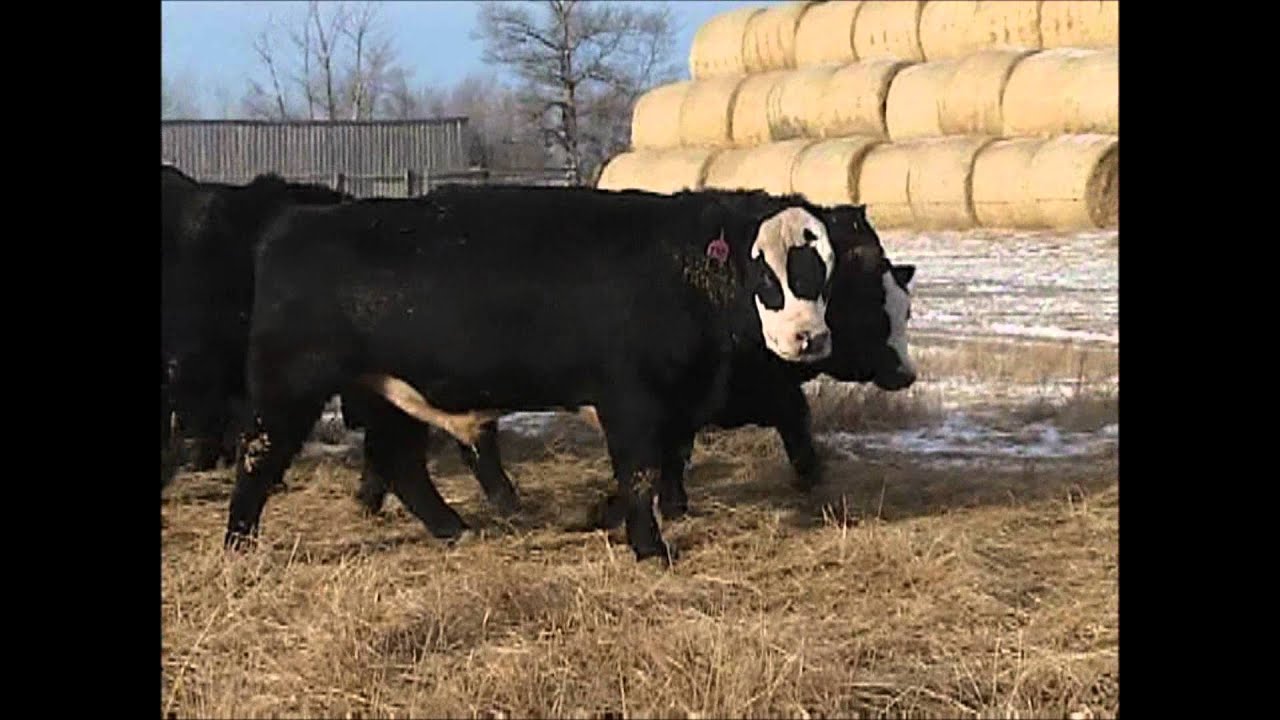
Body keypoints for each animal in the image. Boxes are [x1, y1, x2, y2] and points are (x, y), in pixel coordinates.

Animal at [224, 185, 854, 563]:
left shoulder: (672, 407)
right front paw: (649, 548)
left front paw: (603, 516)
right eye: (764, 273)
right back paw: (238, 543)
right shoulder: (632, 400)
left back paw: (453, 529)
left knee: (400, 462)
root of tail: (294, 221)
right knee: (259, 455)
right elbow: (641, 473)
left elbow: (650, 472)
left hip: (386, 391)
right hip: (290, 385)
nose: (811, 338)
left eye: (825, 271)